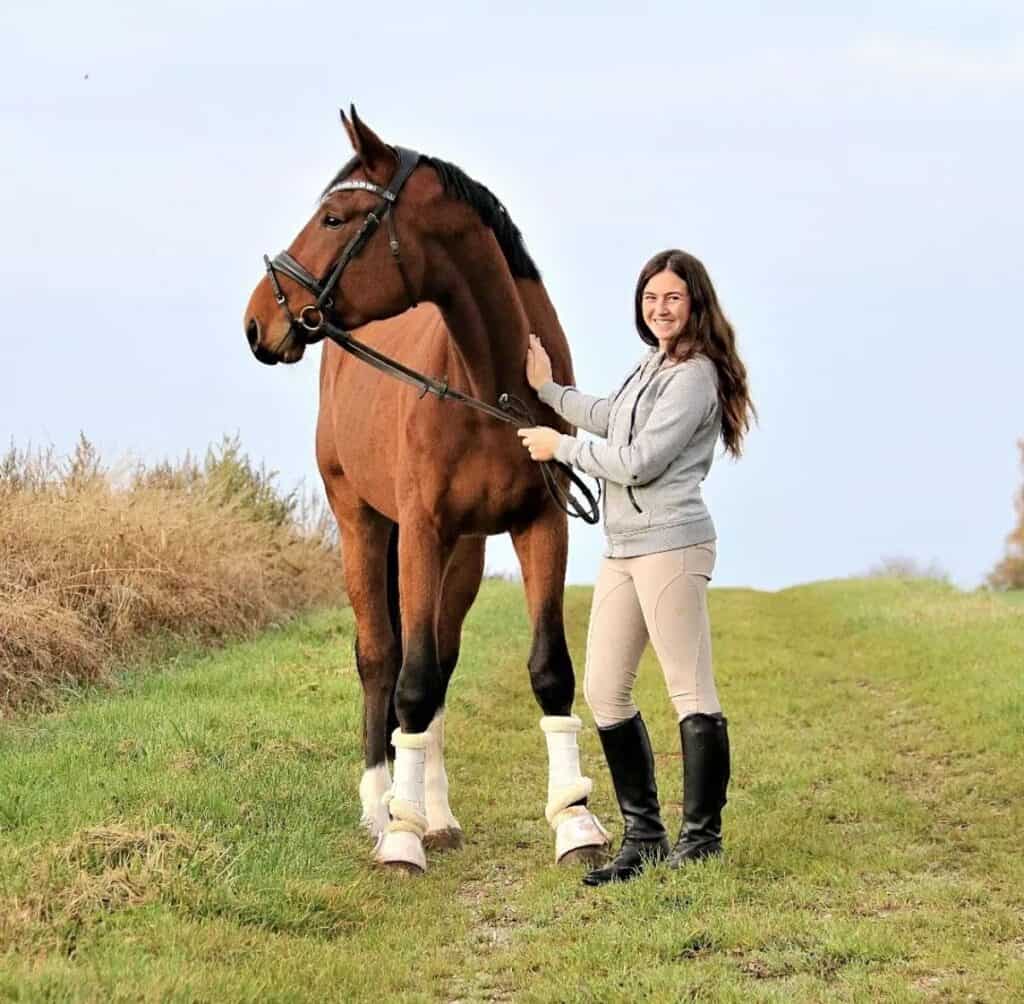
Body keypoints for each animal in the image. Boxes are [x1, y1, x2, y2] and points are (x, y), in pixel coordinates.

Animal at [243, 107, 610, 874]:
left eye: (334, 217)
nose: (260, 319)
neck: (489, 385)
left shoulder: (541, 525)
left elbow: (546, 671)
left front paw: (574, 822)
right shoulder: (418, 531)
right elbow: (406, 680)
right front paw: (400, 835)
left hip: (462, 555)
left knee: (439, 661)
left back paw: (436, 813)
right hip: (362, 522)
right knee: (381, 658)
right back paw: (381, 807)